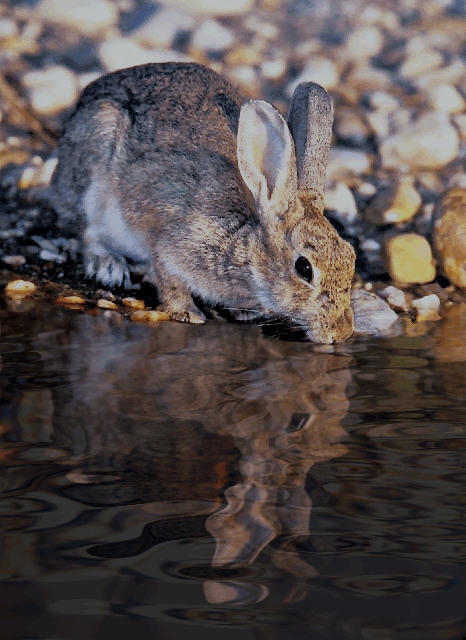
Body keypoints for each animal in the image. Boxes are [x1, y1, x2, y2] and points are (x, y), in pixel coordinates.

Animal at [50, 62, 355, 344]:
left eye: (351, 256)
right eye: (304, 269)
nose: (340, 333)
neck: (247, 246)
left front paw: (248, 310)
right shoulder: (172, 243)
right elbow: (168, 278)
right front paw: (187, 312)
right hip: (93, 178)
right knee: (88, 232)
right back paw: (109, 266)